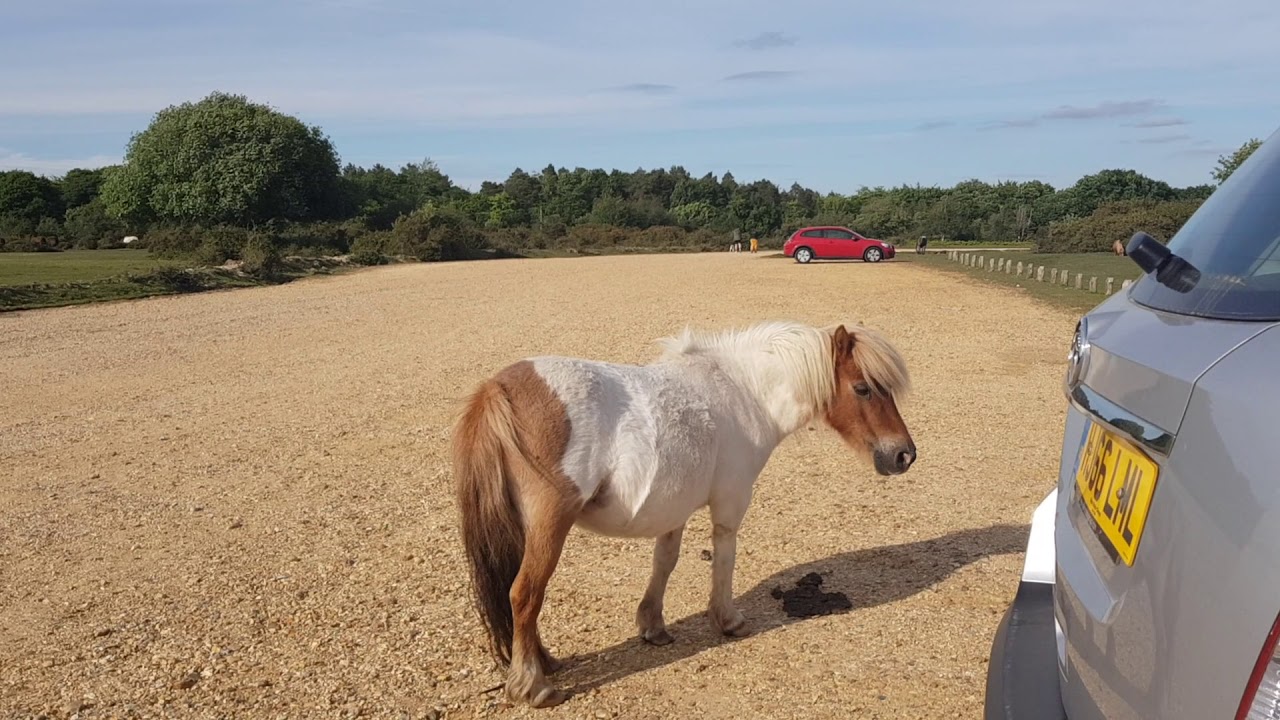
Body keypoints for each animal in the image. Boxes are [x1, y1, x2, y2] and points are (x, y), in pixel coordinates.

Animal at [450, 320, 917, 708]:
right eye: (863, 388)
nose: (904, 455)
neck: (744, 392)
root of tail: (498, 388)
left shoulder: (672, 508)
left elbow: (665, 563)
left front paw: (653, 627)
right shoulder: (730, 503)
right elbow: (724, 558)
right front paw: (727, 621)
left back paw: (545, 662)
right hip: (549, 526)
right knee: (524, 593)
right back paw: (535, 685)